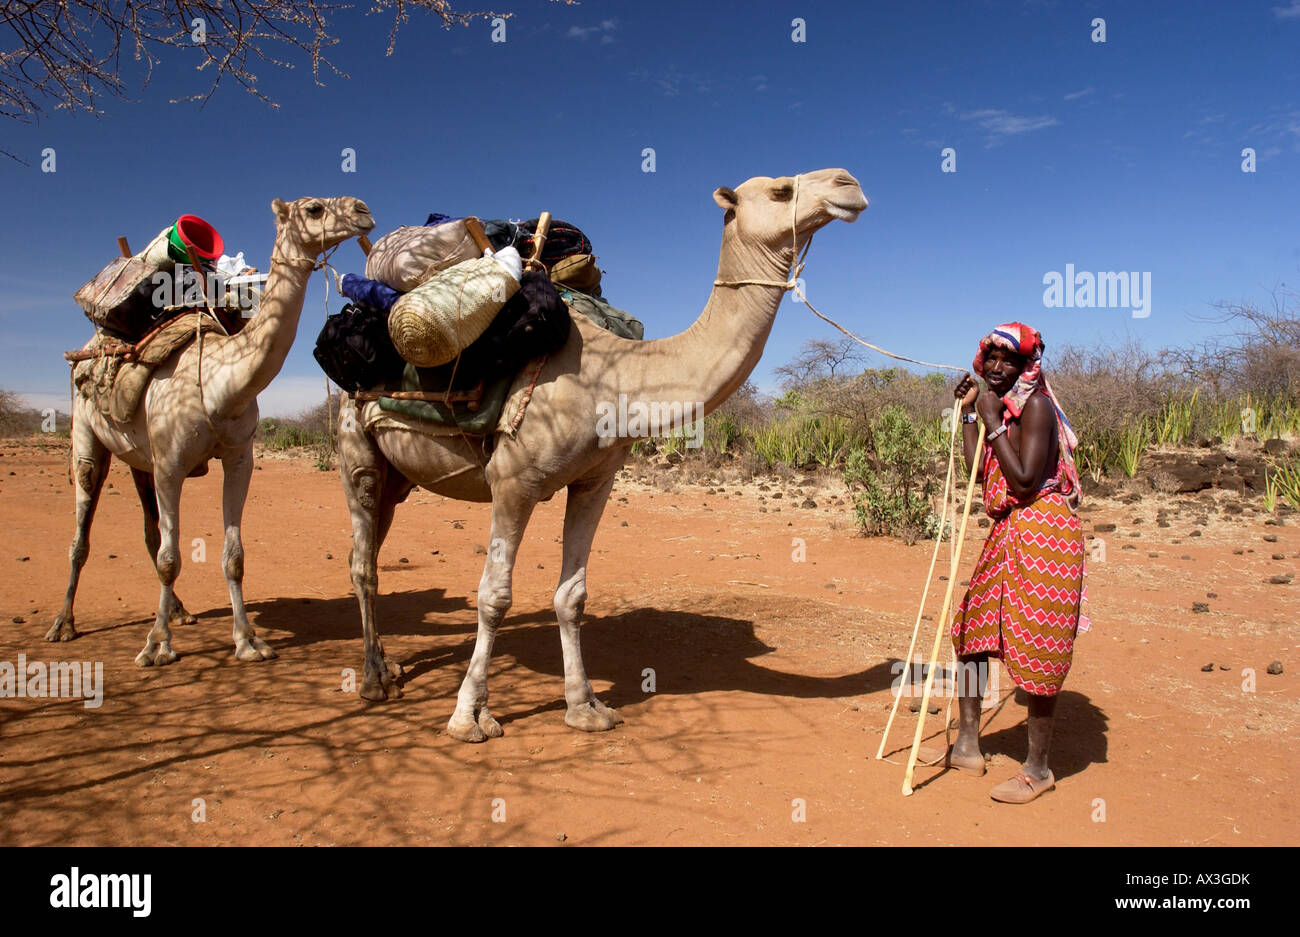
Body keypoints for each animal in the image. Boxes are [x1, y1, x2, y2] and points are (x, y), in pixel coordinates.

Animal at [48, 196, 375, 667]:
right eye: (313, 208)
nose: (362, 210)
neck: (220, 383)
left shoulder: (239, 458)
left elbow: (233, 556)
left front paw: (248, 641)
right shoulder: (171, 464)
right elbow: (171, 557)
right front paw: (156, 646)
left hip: (140, 459)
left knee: (149, 530)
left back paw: (180, 612)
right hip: (86, 436)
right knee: (83, 529)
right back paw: (63, 624)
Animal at [338, 168, 867, 741]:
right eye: (780, 191)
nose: (849, 184)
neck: (615, 381)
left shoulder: (596, 481)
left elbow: (572, 597)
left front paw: (586, 707)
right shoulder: (513, 482)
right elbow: (494, 596)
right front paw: (468, 716)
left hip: (399, 477)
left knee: (369, 550)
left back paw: (389, 666)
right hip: (355, 449)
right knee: (363, 561)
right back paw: (374, 681)